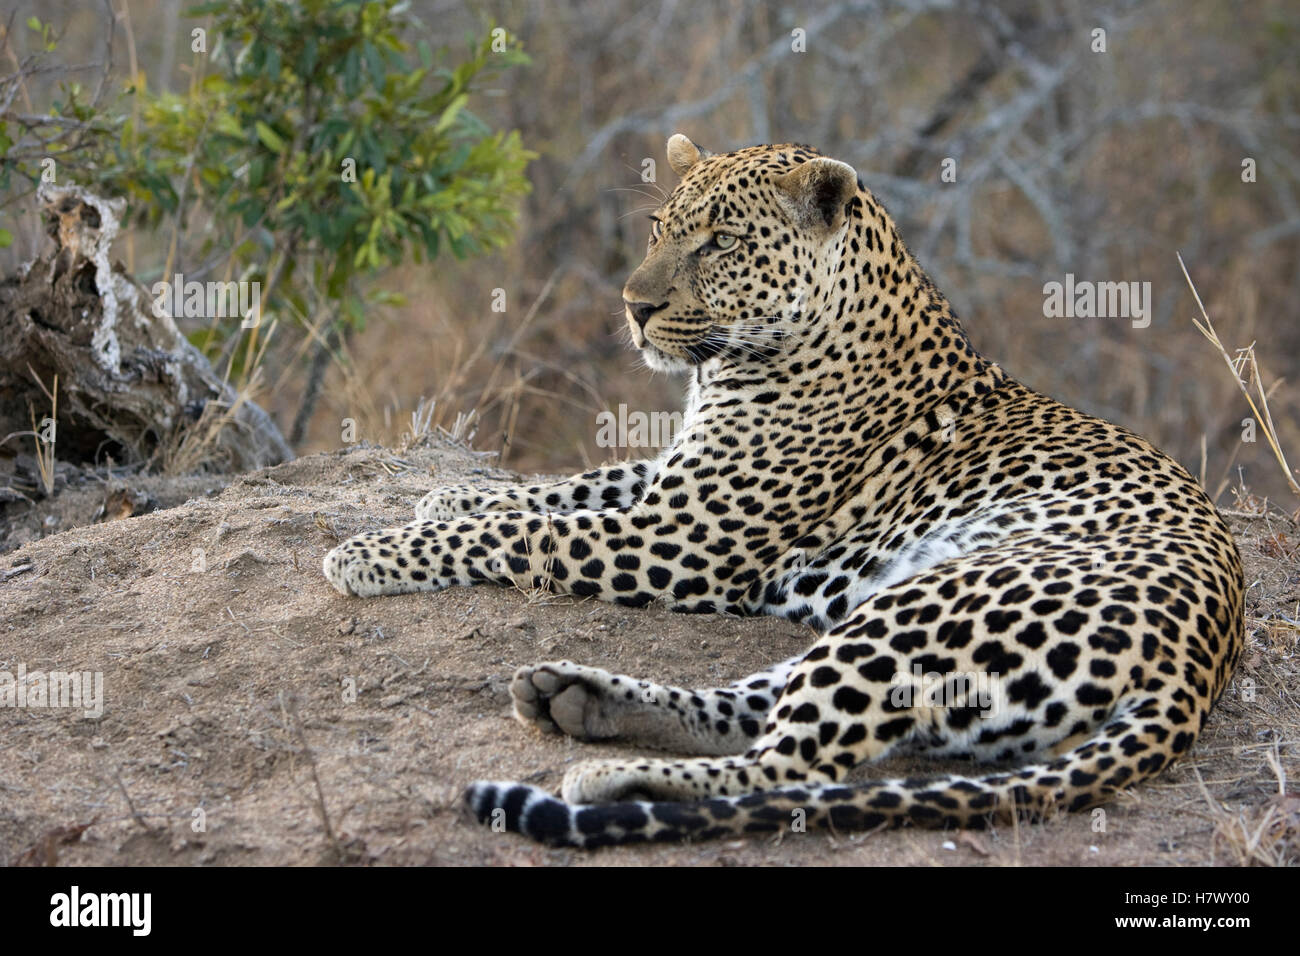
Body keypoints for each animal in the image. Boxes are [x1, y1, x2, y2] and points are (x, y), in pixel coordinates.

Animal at [323, 133, 1244, 848]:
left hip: (934, 603)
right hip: (892, 625)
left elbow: (532, 533)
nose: (633, 306)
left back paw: (611, 775)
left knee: (789, 765)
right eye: (659, 227)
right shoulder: (674, 482)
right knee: (753, 710)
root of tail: (1200, 666)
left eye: (720, 242)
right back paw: (576, 700)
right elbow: (567, 488)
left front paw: (372, 552)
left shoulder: (681, 535)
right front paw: (447, 499)